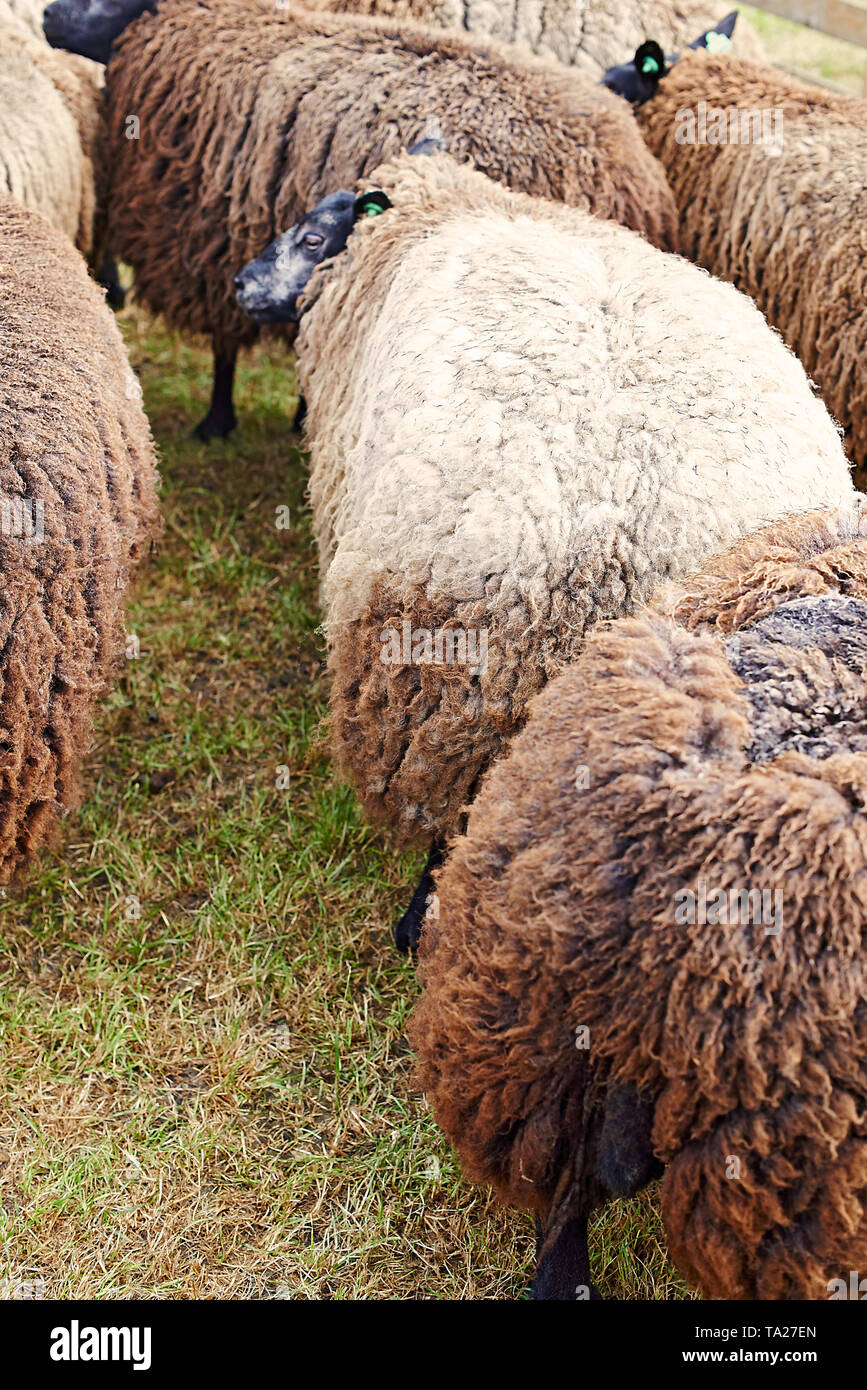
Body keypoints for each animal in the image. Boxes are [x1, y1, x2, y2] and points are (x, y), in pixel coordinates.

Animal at [234, 147, 855, 949]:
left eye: (313, 238)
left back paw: (419, 922)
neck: (460, 206)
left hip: (459, 689)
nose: (241, 283)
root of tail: (624, 546)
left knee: (459, 810)